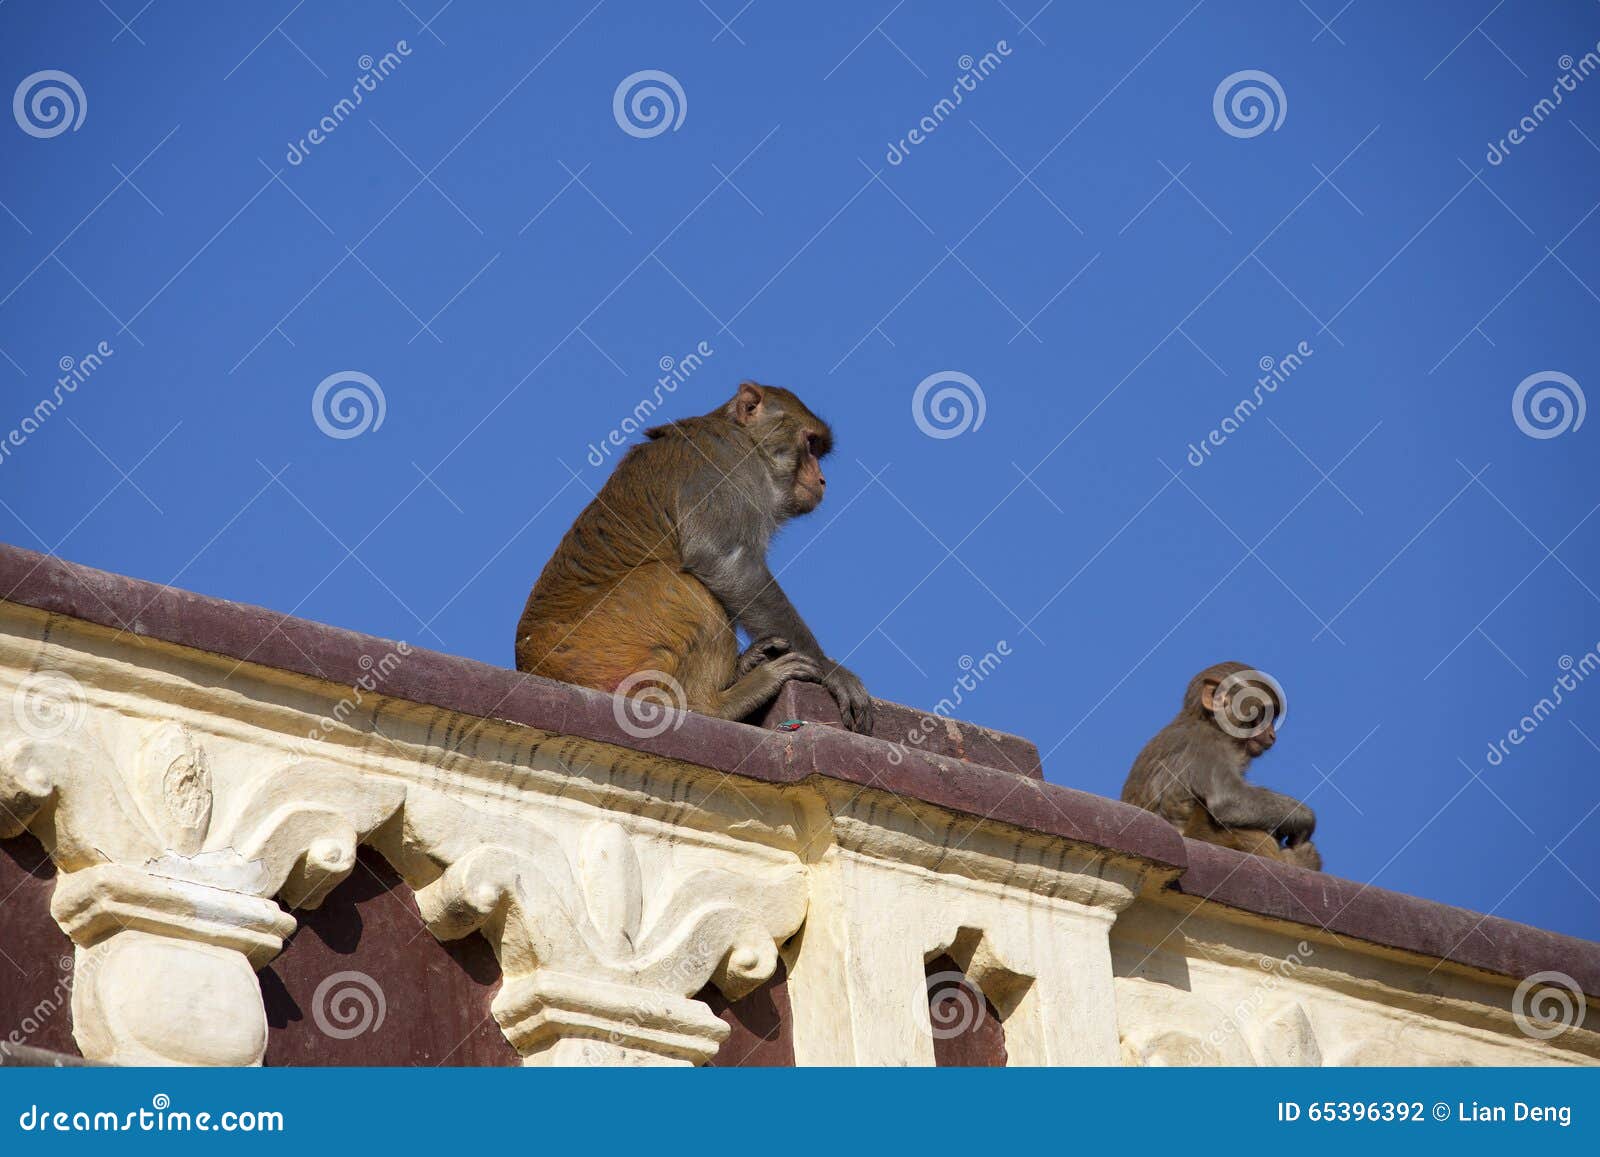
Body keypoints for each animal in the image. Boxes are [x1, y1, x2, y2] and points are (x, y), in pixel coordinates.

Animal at [515, 381, 874, 732]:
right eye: (811, 445)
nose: (822, 480)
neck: (746, 438)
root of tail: (536, 665)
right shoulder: (726, 461)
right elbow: (722, 558)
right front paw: (830, 670)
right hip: (600, 646)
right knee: (681, 584)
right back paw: (716, 704)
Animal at [1121, 661, 1321, 870]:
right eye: (1263, 714)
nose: (1272, 735)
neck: (1206, 721)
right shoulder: (1207, 744)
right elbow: (1227, 799)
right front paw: (1304, 818)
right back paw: (1299, 860)